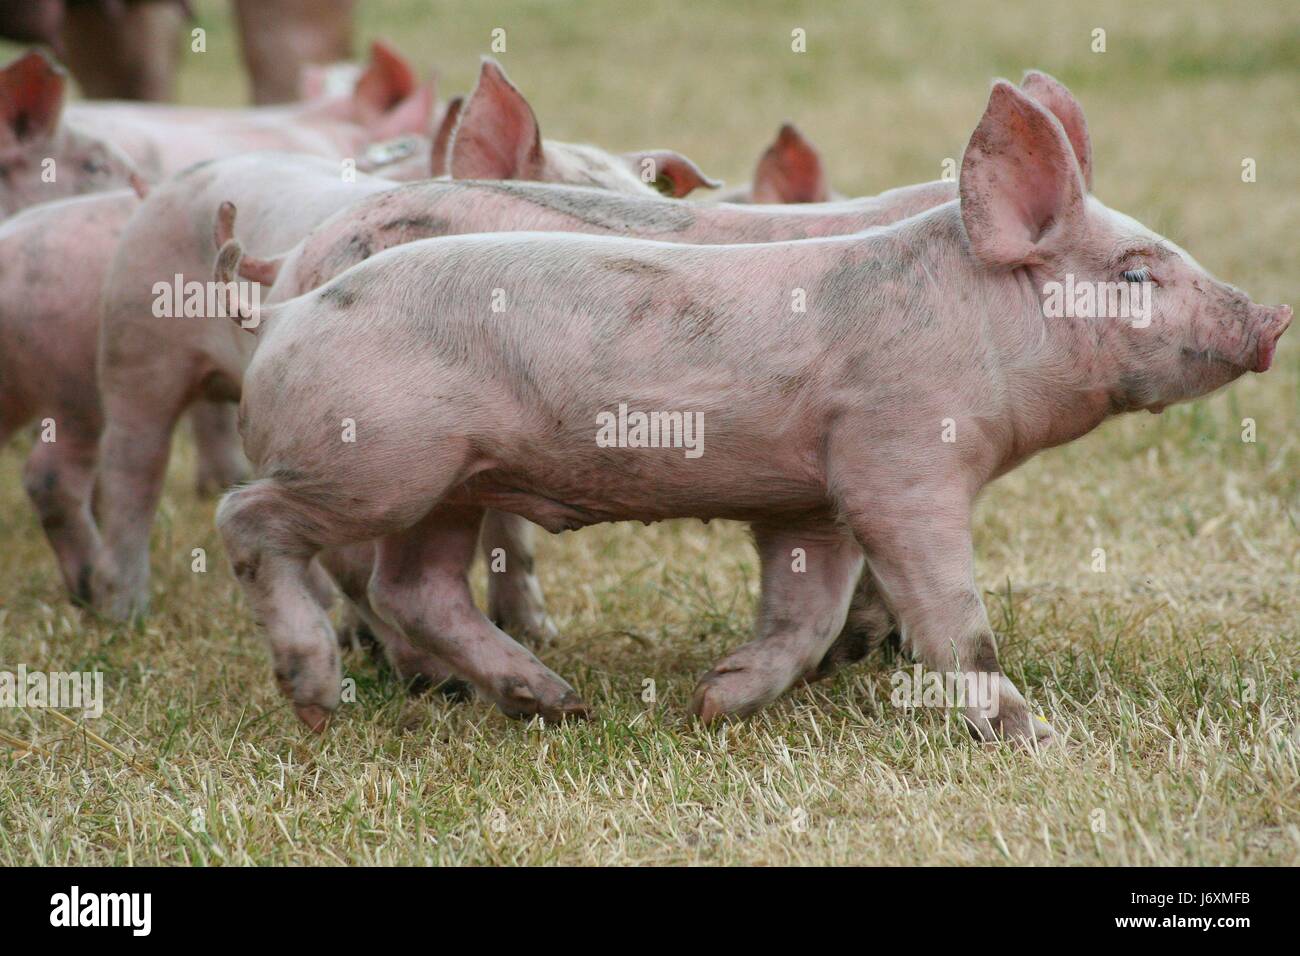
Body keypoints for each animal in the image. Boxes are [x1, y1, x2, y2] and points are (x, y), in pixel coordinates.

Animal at [214, 77, 1290, 742]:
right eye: (1136, 272)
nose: (1273, 317)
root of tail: (293, 295)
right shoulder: (895, 458)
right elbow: (952, 613)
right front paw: (1032, 734)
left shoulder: (810, 498)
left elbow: (801, 608)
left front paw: (716, 703)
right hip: (372, 461)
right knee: (257, 524)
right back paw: (322, 700)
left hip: (449, 481)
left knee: (416, 586)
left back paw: (556, 704)